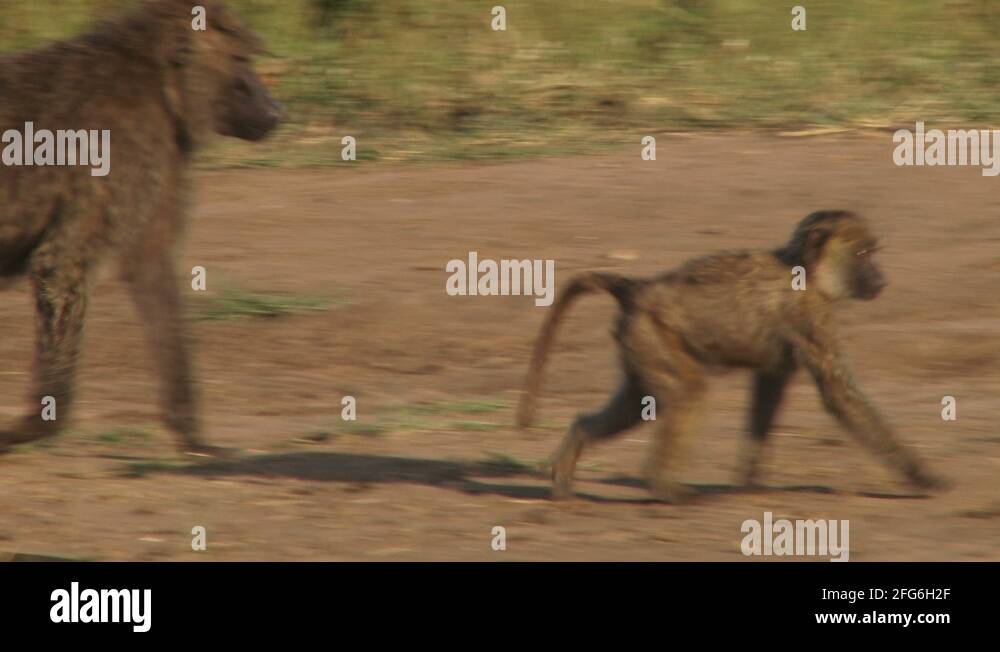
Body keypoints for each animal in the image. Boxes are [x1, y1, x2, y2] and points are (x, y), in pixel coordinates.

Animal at [0, 0, 283, 455]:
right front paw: (31, 428)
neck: (159, 82)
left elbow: (151, 272)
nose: (277, 113)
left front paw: (195, 439)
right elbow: (58, 265)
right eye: (240, 59)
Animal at [517, 210, 949, 502]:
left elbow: (768, 391)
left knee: (635, 404)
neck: (806, 269)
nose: (881, 279)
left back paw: (573, 456)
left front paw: (749, 482)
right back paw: (664, 488)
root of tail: (639, 288)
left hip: (639, 343)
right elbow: (839, 395)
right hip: (653, 335)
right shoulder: (812, 316)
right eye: (862, 253)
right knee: (688, 394)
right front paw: (924, 476)